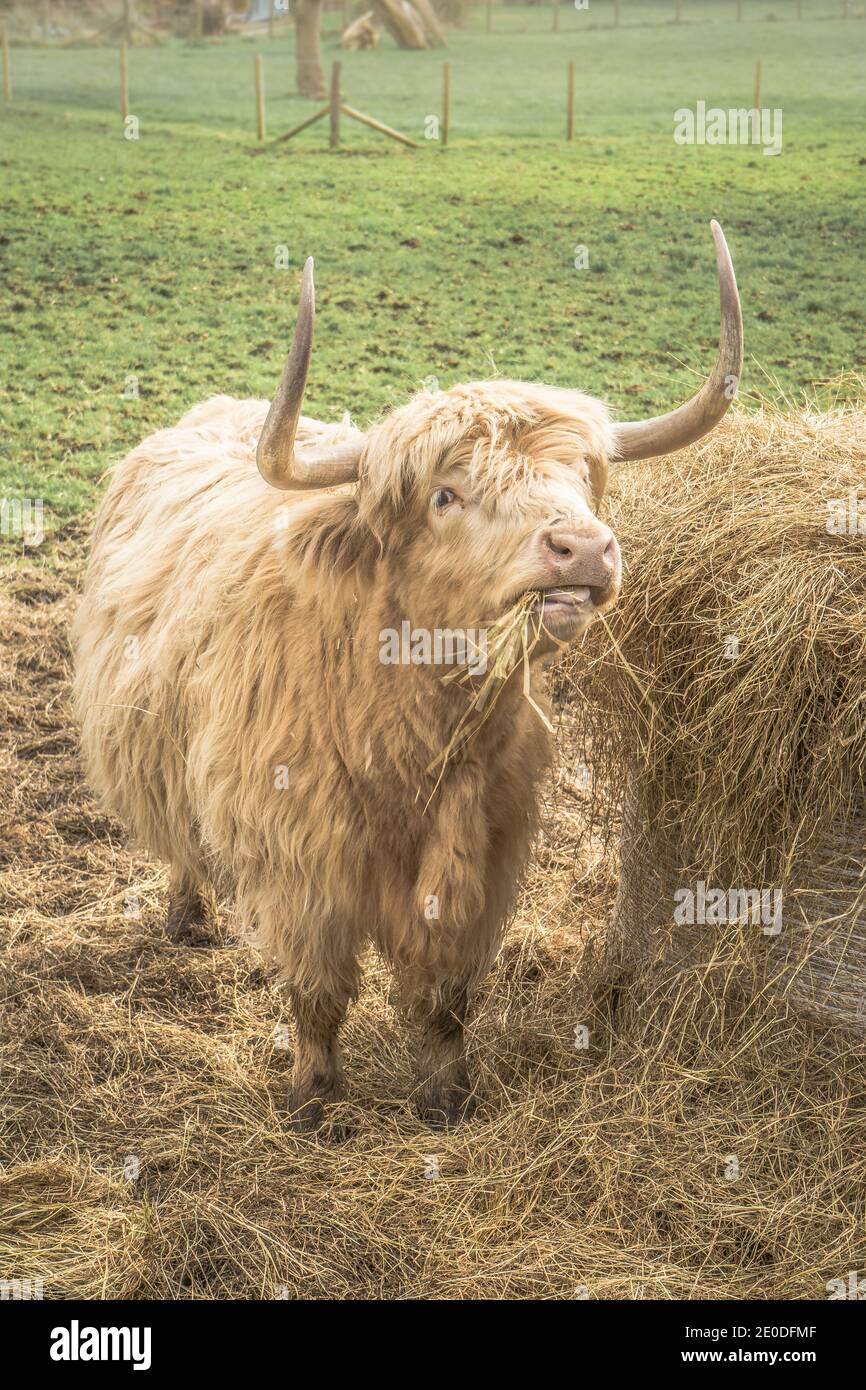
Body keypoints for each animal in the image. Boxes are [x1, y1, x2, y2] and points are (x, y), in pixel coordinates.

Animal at [72, 221, 742, 1129]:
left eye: (579, 477)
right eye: (446, 495)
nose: (585, 549)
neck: (411, 734)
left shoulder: (482, 848)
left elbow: (445, 994)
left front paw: (447, 1095)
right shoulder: (303, 861)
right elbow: (317, 991)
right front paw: (314, 1100)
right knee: (181, 838)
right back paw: (185, 915)